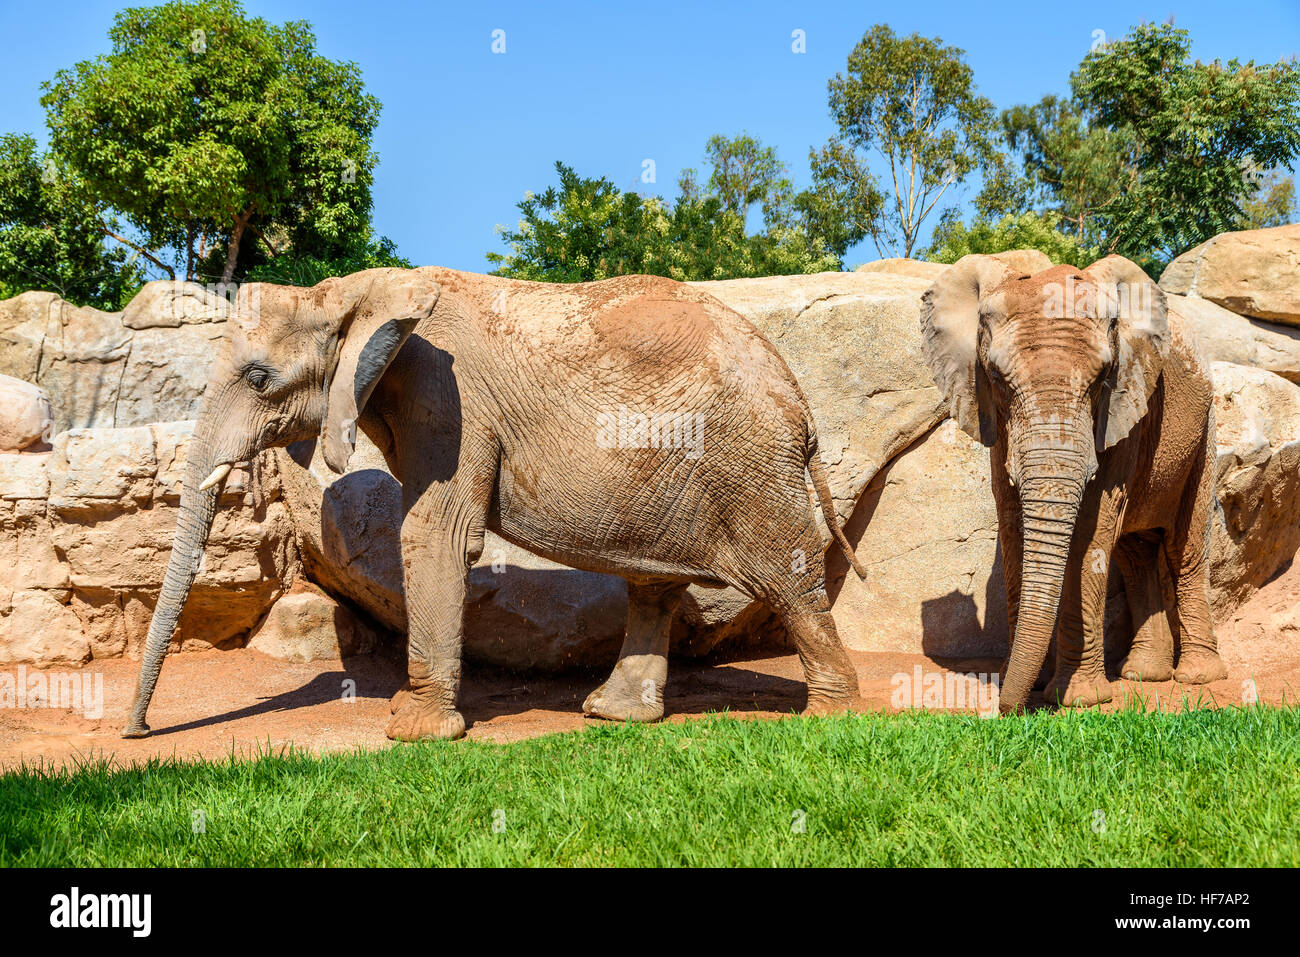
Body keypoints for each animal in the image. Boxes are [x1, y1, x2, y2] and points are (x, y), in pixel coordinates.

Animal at [123, 267, 866, 741]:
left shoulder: (447, 398)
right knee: (654, 585)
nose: (139, 731)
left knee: (789, 580)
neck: (355, 293)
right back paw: (611, 715)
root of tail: (802, 407)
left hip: (748, 463)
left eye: (259, 378)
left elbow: (435, 533)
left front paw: (413, 732)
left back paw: (831, 717)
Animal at [920, 253, 1226, 714]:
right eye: (996, 376)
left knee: (1184, 546)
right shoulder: (997, 421)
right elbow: (1013, 528)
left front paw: (1079, 699)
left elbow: (1090, 533)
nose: (1004, 712)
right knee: (1136, 553)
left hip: (1205, 427)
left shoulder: (1123, 406)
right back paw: (1143, 674)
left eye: (1103, 378)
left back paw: (1197, 677)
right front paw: (1027, 683)